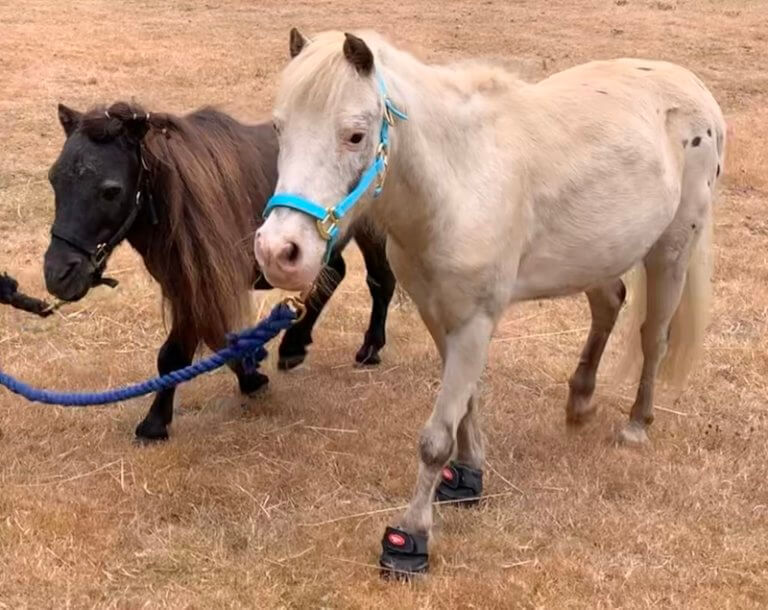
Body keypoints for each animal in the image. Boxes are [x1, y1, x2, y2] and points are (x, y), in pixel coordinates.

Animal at [44, 101, 396, 441]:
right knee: (334, 274)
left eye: (111, 190)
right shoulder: (187, 287)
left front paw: (155, 423)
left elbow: (175, 354)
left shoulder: (199, 286)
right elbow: (220, 342)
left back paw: (369, 349)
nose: (58, 274)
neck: (181, 201)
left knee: (380, 282)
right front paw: (251, 377)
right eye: (54, 179)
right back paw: (294, 346)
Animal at [253, 29, 725, 575]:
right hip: (599, 254)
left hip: (671, 250)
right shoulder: (441, 316)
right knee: (609, 304)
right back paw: (580, 400)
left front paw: (411, 537)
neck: (460, 179)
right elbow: (465, 405)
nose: (279, 252)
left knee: (654, 338)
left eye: (354, 135)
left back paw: (635, 425)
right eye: (279, 129)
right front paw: (467, 477)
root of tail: (693, 88)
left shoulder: (474, 323)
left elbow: (435, 437)